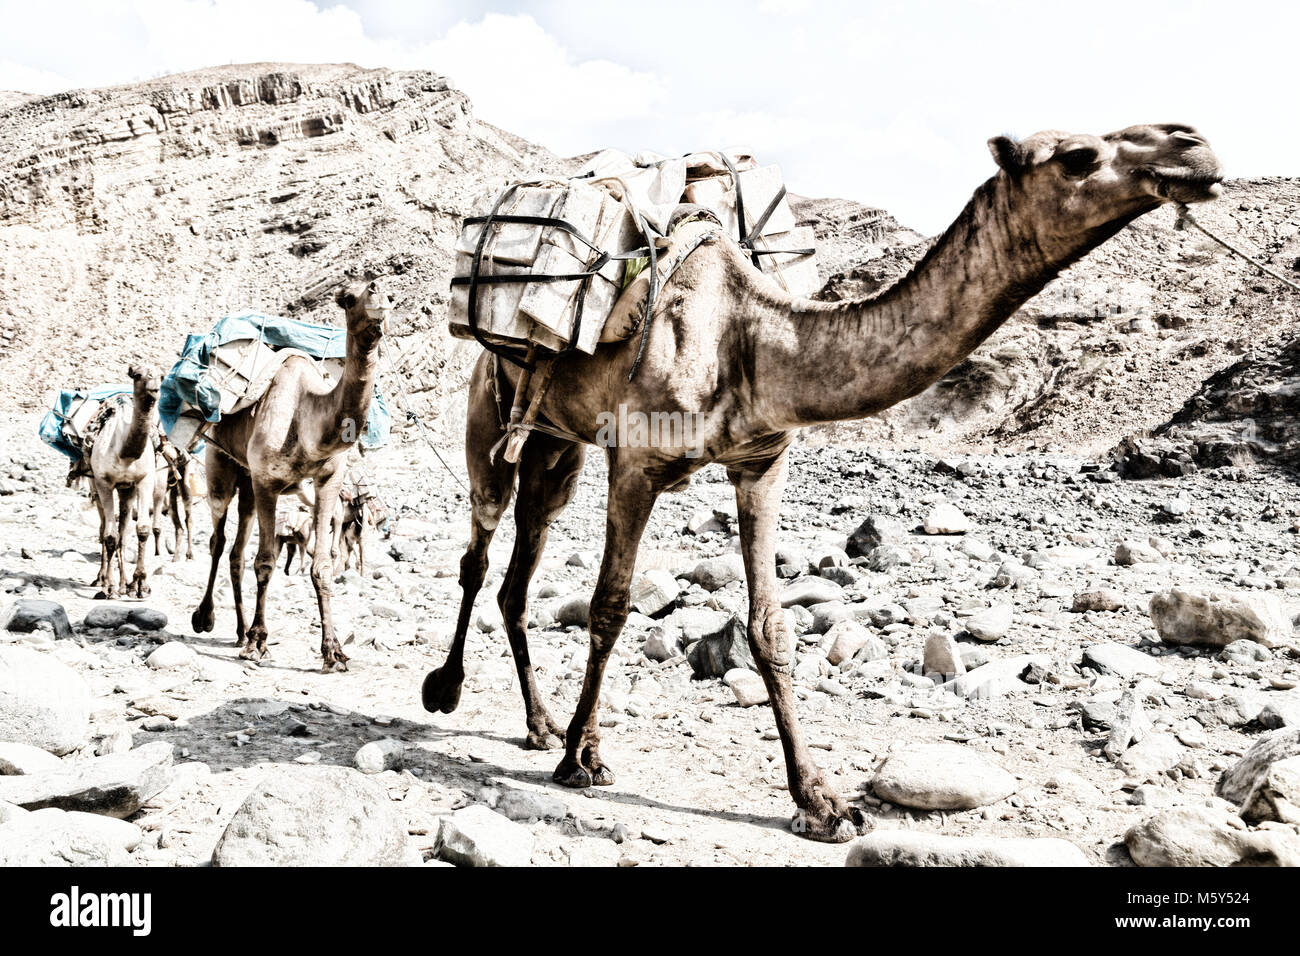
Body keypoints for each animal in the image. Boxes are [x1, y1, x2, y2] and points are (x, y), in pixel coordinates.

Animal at [88, 365, 162, 599]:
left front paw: (140, 585)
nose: (155, 389)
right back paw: (102, 580)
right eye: (138, 375)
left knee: (123, 532)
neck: (125, 453)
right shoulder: (103, 482)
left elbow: (142, 530)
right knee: (104, 529)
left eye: (162, 376)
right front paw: (109, 588)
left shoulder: (144, 480)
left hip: (127, 491)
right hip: (96, 487)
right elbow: (110, 536)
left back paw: (124, 584)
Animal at [191, 280, 391, 669]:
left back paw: (239, 631)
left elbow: (322, 565)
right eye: (349, 298)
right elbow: (265, 563)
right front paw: (259, 642)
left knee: (236, 552)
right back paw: (206, 618)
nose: (380, 292)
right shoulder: (267, 482)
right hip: (221, 466)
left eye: (390, 293)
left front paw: (333, 651)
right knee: (218, 539)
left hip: (247, 483)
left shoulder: (327, 482)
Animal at [423, 124, 1224, 842]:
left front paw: (823, 802)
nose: (1194, 146)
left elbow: (770, 628)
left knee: (520, 570)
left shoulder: (760, 462)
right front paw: (583, 759)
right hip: (492, 406)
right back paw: (449, 689)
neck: (747, 337)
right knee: (480, 548)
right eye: (1079, 155)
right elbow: (611, 607)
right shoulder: (639, 462)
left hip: (556, 447)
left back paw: (538, 724)